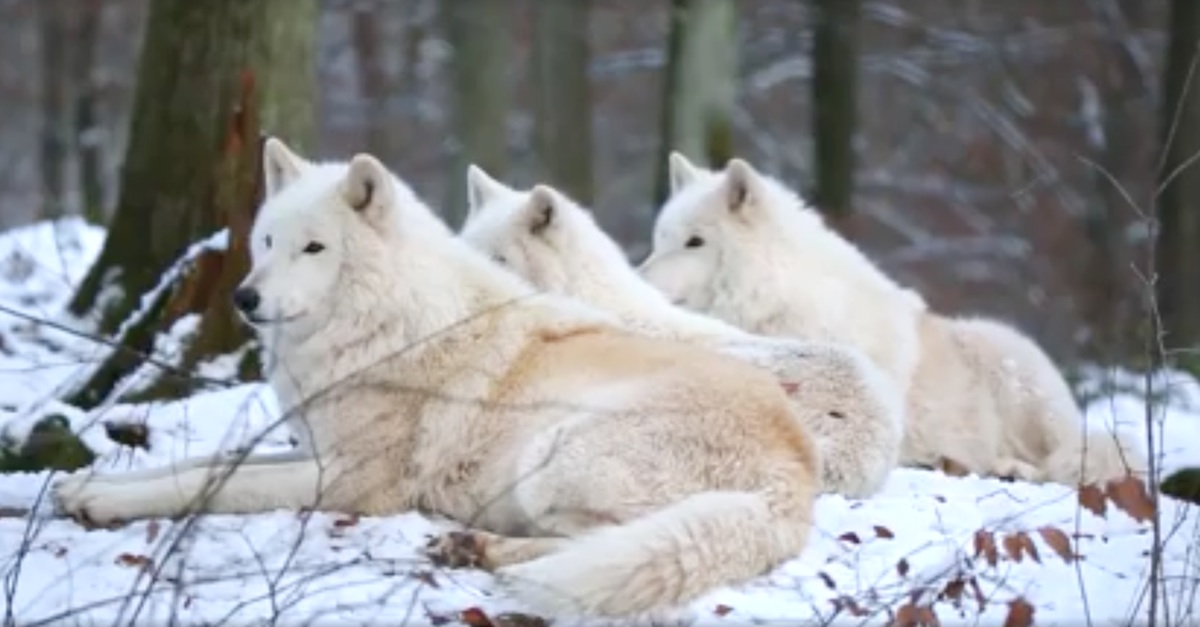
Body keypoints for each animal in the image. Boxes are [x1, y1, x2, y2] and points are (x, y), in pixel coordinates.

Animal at [52, 139, 822, 619]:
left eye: (315, 248)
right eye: (268, 240)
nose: (244, 298)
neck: (383, 325)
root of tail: (795, 474)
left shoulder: (347, 481)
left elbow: (210, 483)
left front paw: (106, 502)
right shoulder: (315, 449)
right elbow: (203, 462)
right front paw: (86, 487)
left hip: (555, 454)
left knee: (604, 547)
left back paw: (485, 552)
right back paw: (470, 546)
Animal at [637, 152, 1146, 487]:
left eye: (696, 242)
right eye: (660, 239)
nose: (637, 277)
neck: (773, 304)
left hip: (1013, 369)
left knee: (1059, 460)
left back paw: (1010, 468)